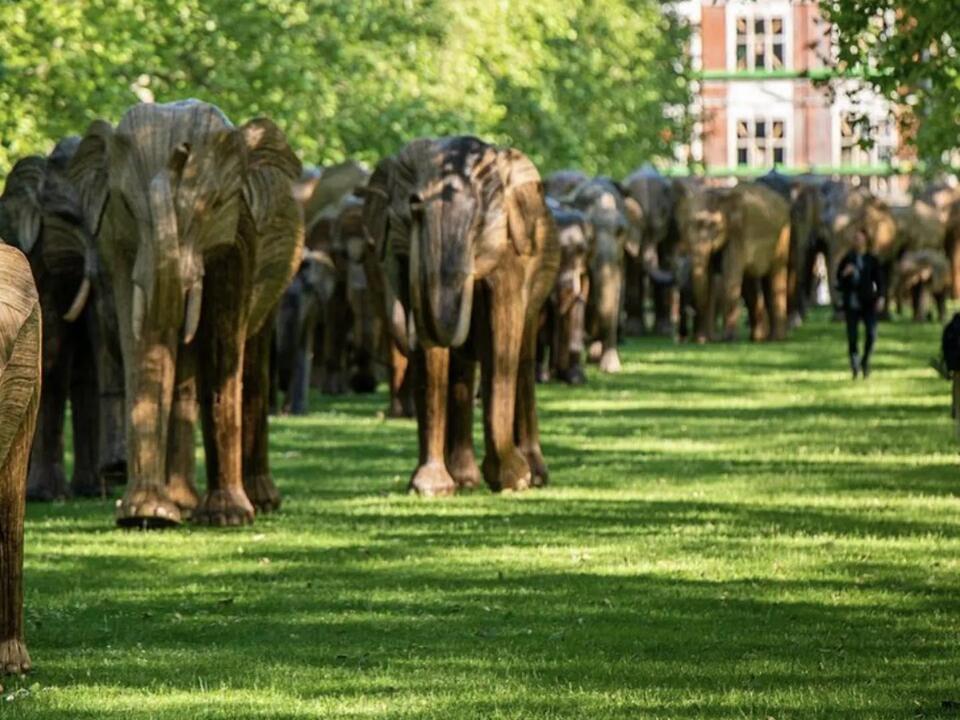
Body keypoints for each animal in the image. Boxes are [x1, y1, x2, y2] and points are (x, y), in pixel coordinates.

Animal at [70, 100, 304, 526]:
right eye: (127, 205)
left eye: (215, 205)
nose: (180, 151)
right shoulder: (116, 239)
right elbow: (145, 347)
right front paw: (145, 516)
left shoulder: (243, 233)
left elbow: (221, 349)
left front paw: (228, 517)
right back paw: (182, 506)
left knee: (252, 365)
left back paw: (259, 503)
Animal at [361, 136, 560, 496]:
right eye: (410, 212)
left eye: (480, 222)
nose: (417, 203)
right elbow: (432, 362)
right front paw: (430, 489)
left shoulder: (509, 252)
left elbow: (501, 345)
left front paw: (512, 480)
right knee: (462, 369)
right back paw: (466, 480)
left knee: (522, 355)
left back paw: (534, 476)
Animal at [537, 199, 591, 384]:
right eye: (551, 252)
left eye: (582, 250)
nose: (559, 373)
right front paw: (542, 377)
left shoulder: (584, 270)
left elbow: (579, 305)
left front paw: (576, 378)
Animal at [675, 182, 791, 342]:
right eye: (686, 225)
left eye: (713, 226)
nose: (711, 338)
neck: (720, 195)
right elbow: (708, 276)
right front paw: (702, 341)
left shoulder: (738, 233)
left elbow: (730, 276)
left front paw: (727, 339)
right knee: (750, 284)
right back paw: (758, 338)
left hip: (783, 235)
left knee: (775, 275)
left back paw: (775, 339)